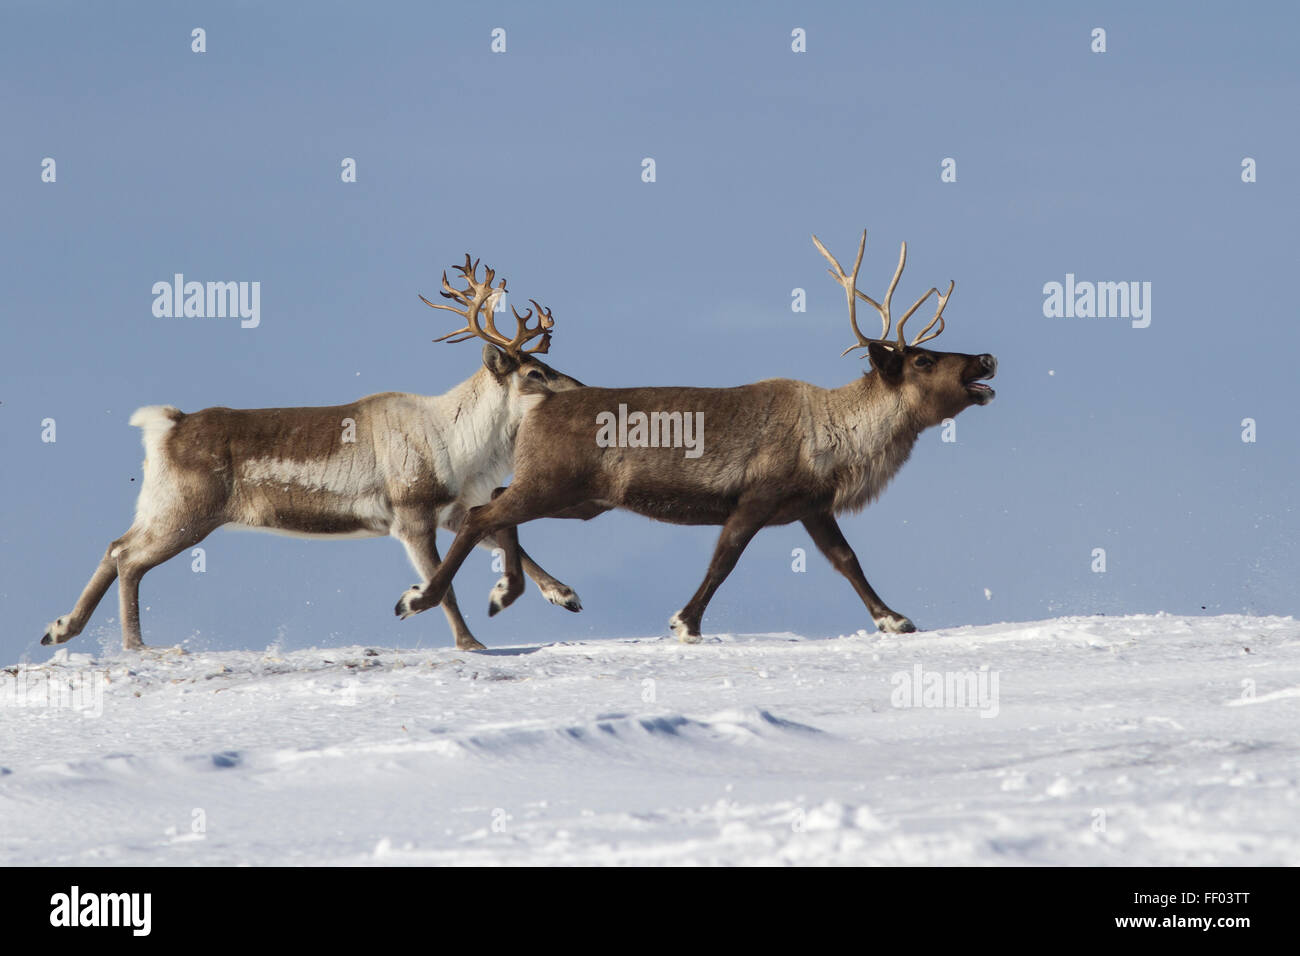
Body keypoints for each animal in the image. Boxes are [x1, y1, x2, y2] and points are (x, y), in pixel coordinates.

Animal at [41, 255, 586, 653]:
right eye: (533, 372)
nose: (583, 390)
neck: (459, 441)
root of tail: (167, 425)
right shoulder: (411, 516)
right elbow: (444, 584)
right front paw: (470, 643)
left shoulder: (451, 511)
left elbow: (510, 546)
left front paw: (565, 595)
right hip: (186, 512)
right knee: (129, 558)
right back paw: (135, 645)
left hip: (161, 506)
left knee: (114, 546)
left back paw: (61, 628)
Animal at [394, 229, 997, 642]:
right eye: (923, 359)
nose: (987, 359)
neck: (840, 439)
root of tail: (538, 407)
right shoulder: (758, 495)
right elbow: (723, 560)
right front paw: (686, 622)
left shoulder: (811, 505)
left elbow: (847, 560)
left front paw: (893, 618)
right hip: (555, 483)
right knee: (481, 513)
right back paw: (422, 597)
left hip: (582, 498)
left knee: (494, 503)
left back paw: (516, 592)